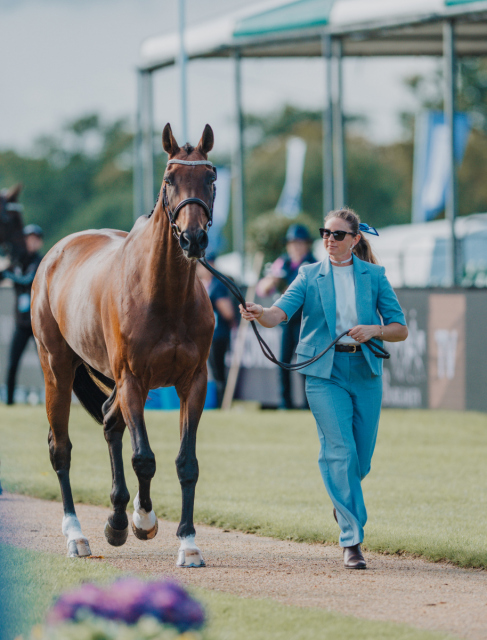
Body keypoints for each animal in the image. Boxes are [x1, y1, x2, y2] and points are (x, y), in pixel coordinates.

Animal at [31, 124, 216, 567]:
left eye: (212, 177)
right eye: (169, 178)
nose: (194, 239)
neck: (163, 294)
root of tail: (54, 255)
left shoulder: (193, 382)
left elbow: (186, 463)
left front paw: (187, 542)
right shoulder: (132, 378)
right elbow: (143, 457)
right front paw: (144, 520)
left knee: (110, 421)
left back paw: (116, 517)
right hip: (56, 369)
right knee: (60, 448)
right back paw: (76, 535)